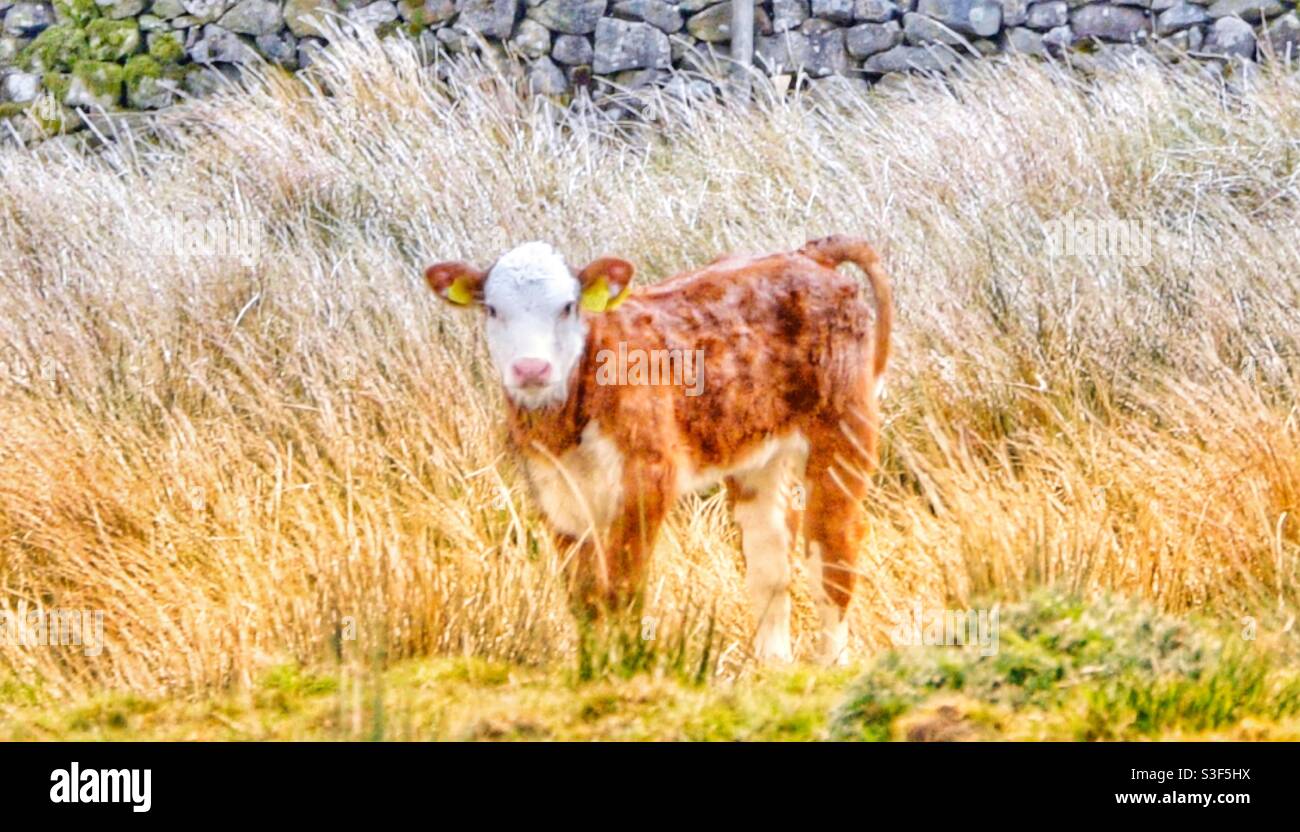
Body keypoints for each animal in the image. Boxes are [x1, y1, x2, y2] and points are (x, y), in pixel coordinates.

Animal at [424, 236, 892, 665]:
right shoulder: (554, 490)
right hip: (758, 456)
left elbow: (622, 588)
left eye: (568, 307)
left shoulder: (647, 477)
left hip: (843, 429)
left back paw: (831, 664)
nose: (531, 369)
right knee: (769, 561)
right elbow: (585, 597)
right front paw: (593, 667)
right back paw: (773, 667)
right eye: (492, 309)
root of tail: (809, 254)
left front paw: (626, 663)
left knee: (832, 551)